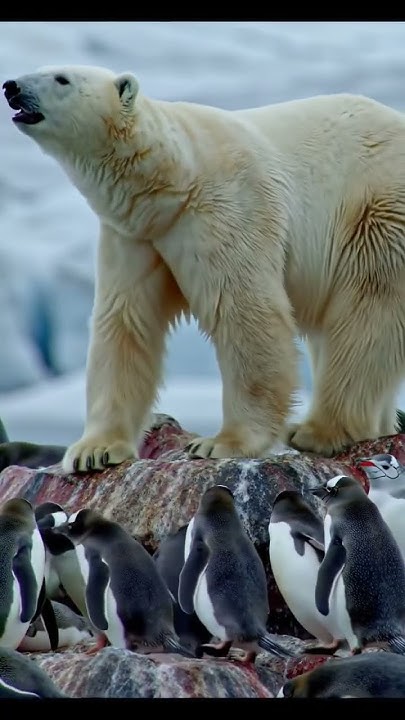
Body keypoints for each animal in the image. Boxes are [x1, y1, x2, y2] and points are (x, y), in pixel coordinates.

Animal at [3, 64, 405, 473]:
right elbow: (123, 321)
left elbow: (244, 312)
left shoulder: (224, 209)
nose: (11, 86)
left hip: (375, 211)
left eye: (61, 79)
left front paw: (222, 442)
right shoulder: (134, 235)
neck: (172, 179)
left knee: (368, 313)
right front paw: (93, 450)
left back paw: (318, 430)